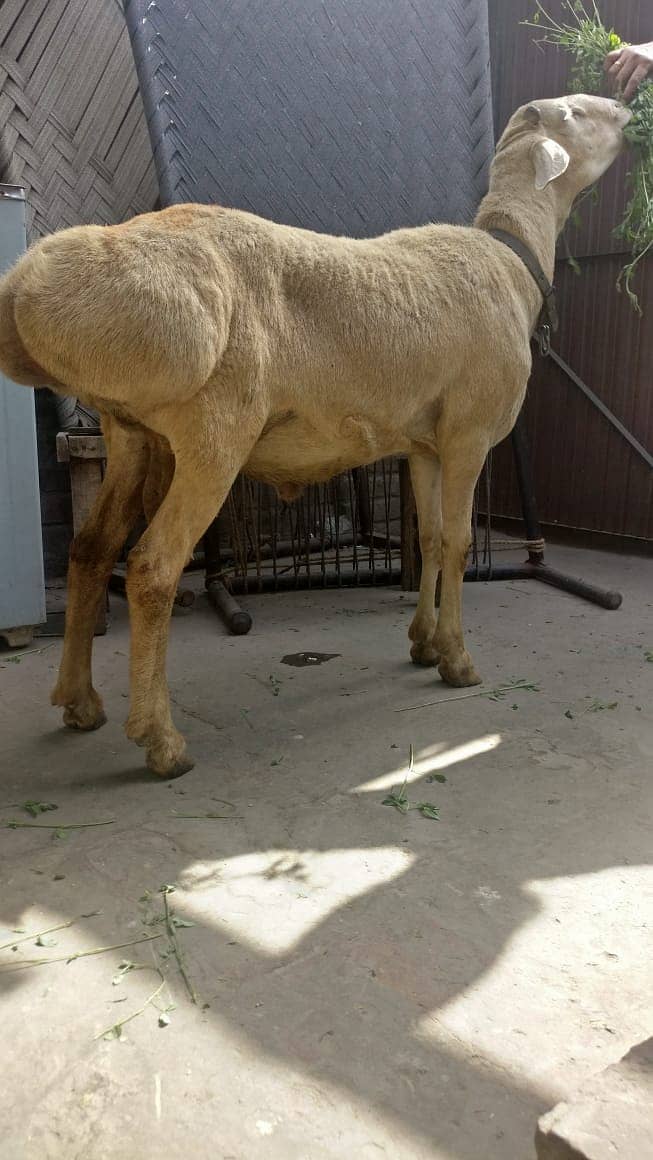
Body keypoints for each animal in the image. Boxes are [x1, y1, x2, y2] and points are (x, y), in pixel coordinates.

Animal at [0, 94, 630, 777]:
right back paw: (161, 741)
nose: (627, 111)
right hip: (215, 430)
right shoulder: (468, 433)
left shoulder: (425, 444)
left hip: (131, 434)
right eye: (578, 114)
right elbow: (460, 543)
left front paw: (423, 644)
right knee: (151, 568)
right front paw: (459, 660)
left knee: (90, 552)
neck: (512, 258)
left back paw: (79, 701)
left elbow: (430, 540)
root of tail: (33, 280)